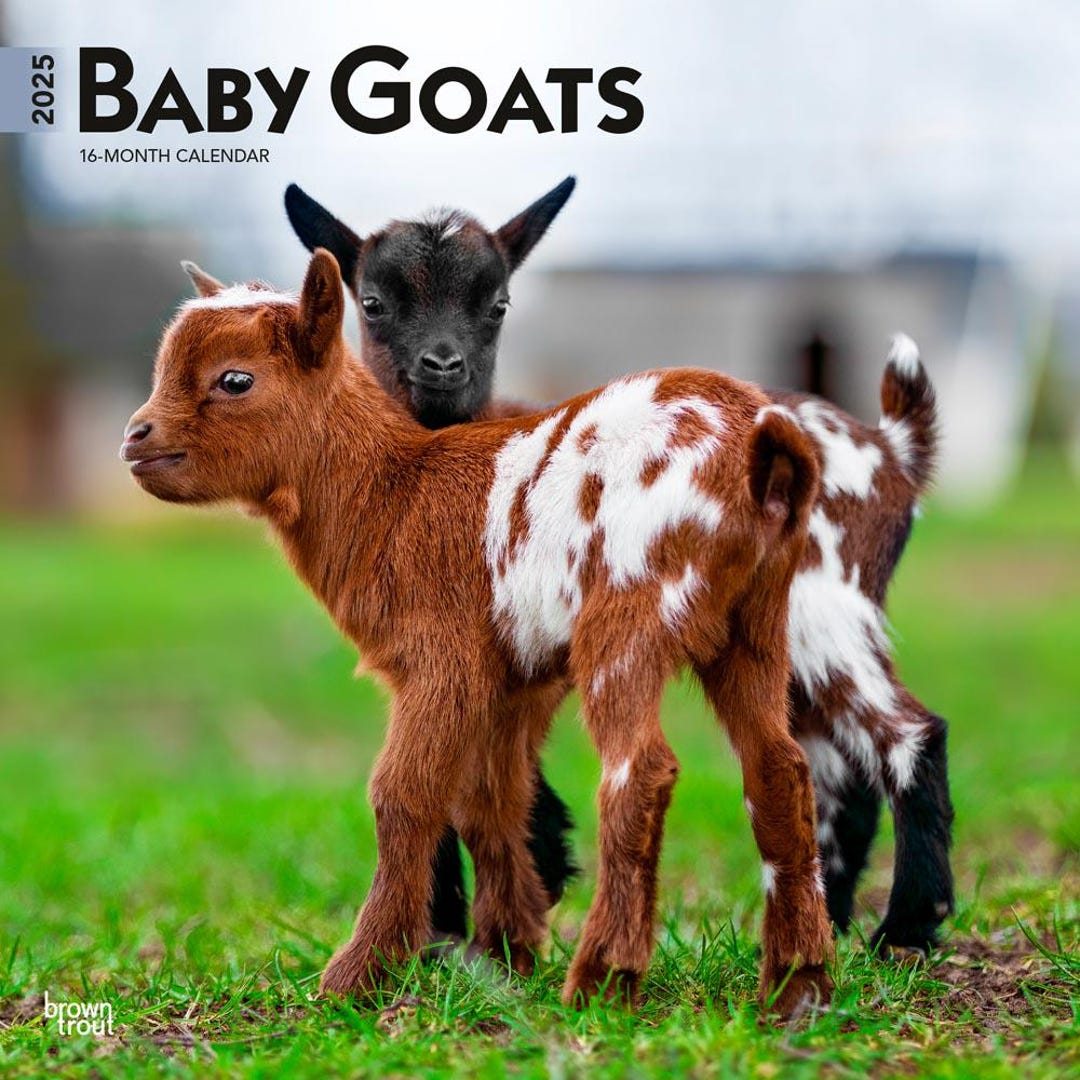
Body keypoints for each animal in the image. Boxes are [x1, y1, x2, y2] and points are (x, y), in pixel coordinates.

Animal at [122, 249, 833, 1018]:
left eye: (235, 379)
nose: (136, 437)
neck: (395, 494)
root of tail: (760, 450)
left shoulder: (444, 657)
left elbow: (402, 797)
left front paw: (358, 975)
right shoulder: (513, 676)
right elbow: (490, 800)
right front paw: (504, 953)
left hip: (631, 612)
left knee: (639, 772)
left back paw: (603, 980)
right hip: (757, 618)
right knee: (778, 767)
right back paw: (799, 983)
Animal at [286, 189, 955, 954]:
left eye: (499, 304)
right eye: (371, 302)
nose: (442, 365)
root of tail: (892, 452)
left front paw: (519, 885)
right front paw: (460, 921)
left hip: (827, 610)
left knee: (910, 734)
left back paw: (907, 927)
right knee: (838, 766)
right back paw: (832, 924)